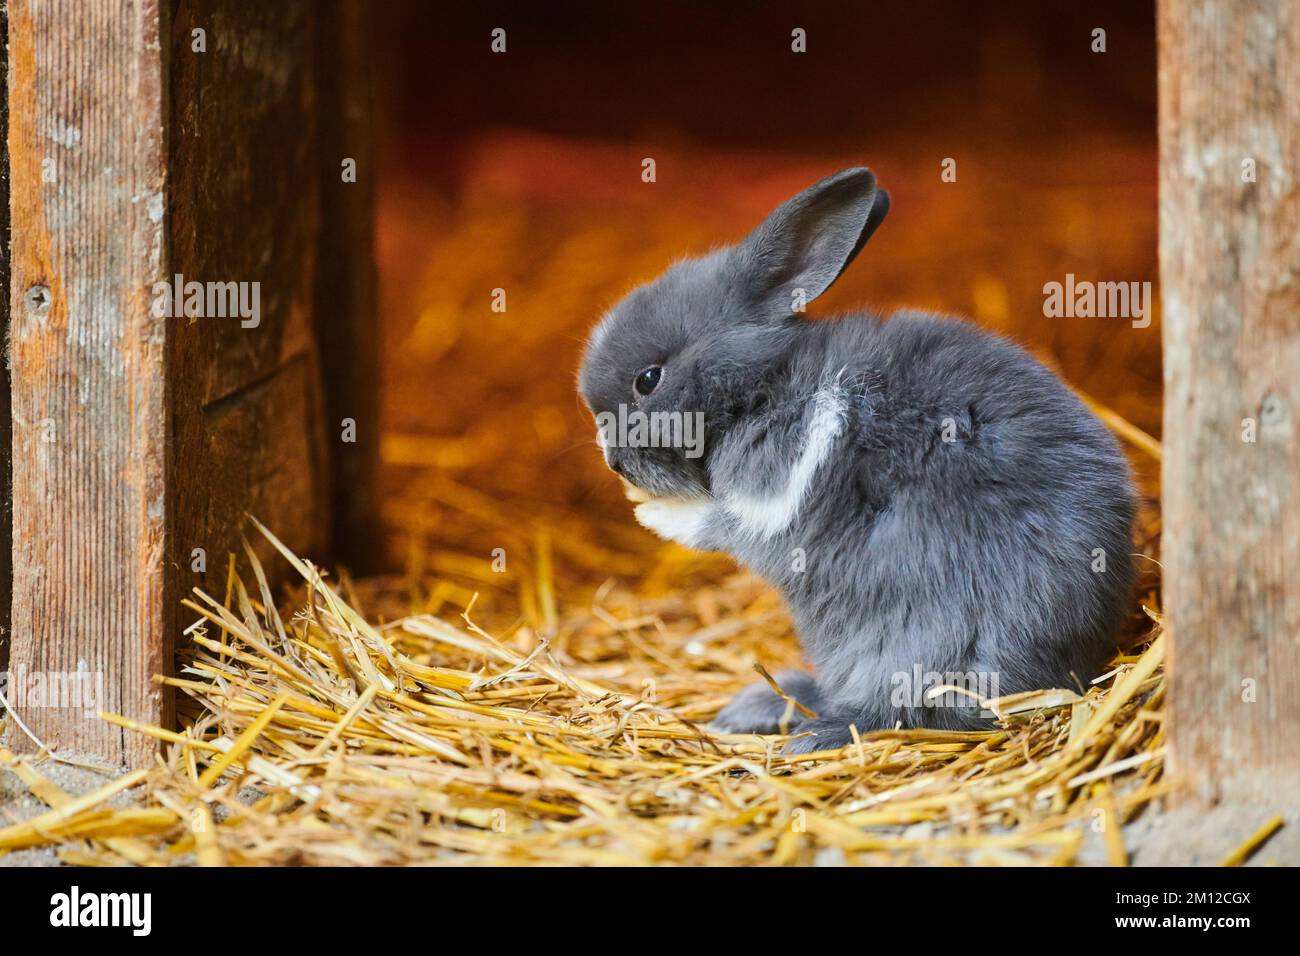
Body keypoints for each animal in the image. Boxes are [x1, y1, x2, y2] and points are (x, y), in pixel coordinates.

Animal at [577, 167, 1135, 754]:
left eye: (648, 379)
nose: (615, 464)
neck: (767, 383)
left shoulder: (780, 487)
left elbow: (718, 524)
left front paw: (649, 510)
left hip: (918, 650)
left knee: (896, 710)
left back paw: (808, 736)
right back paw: (759, 707)